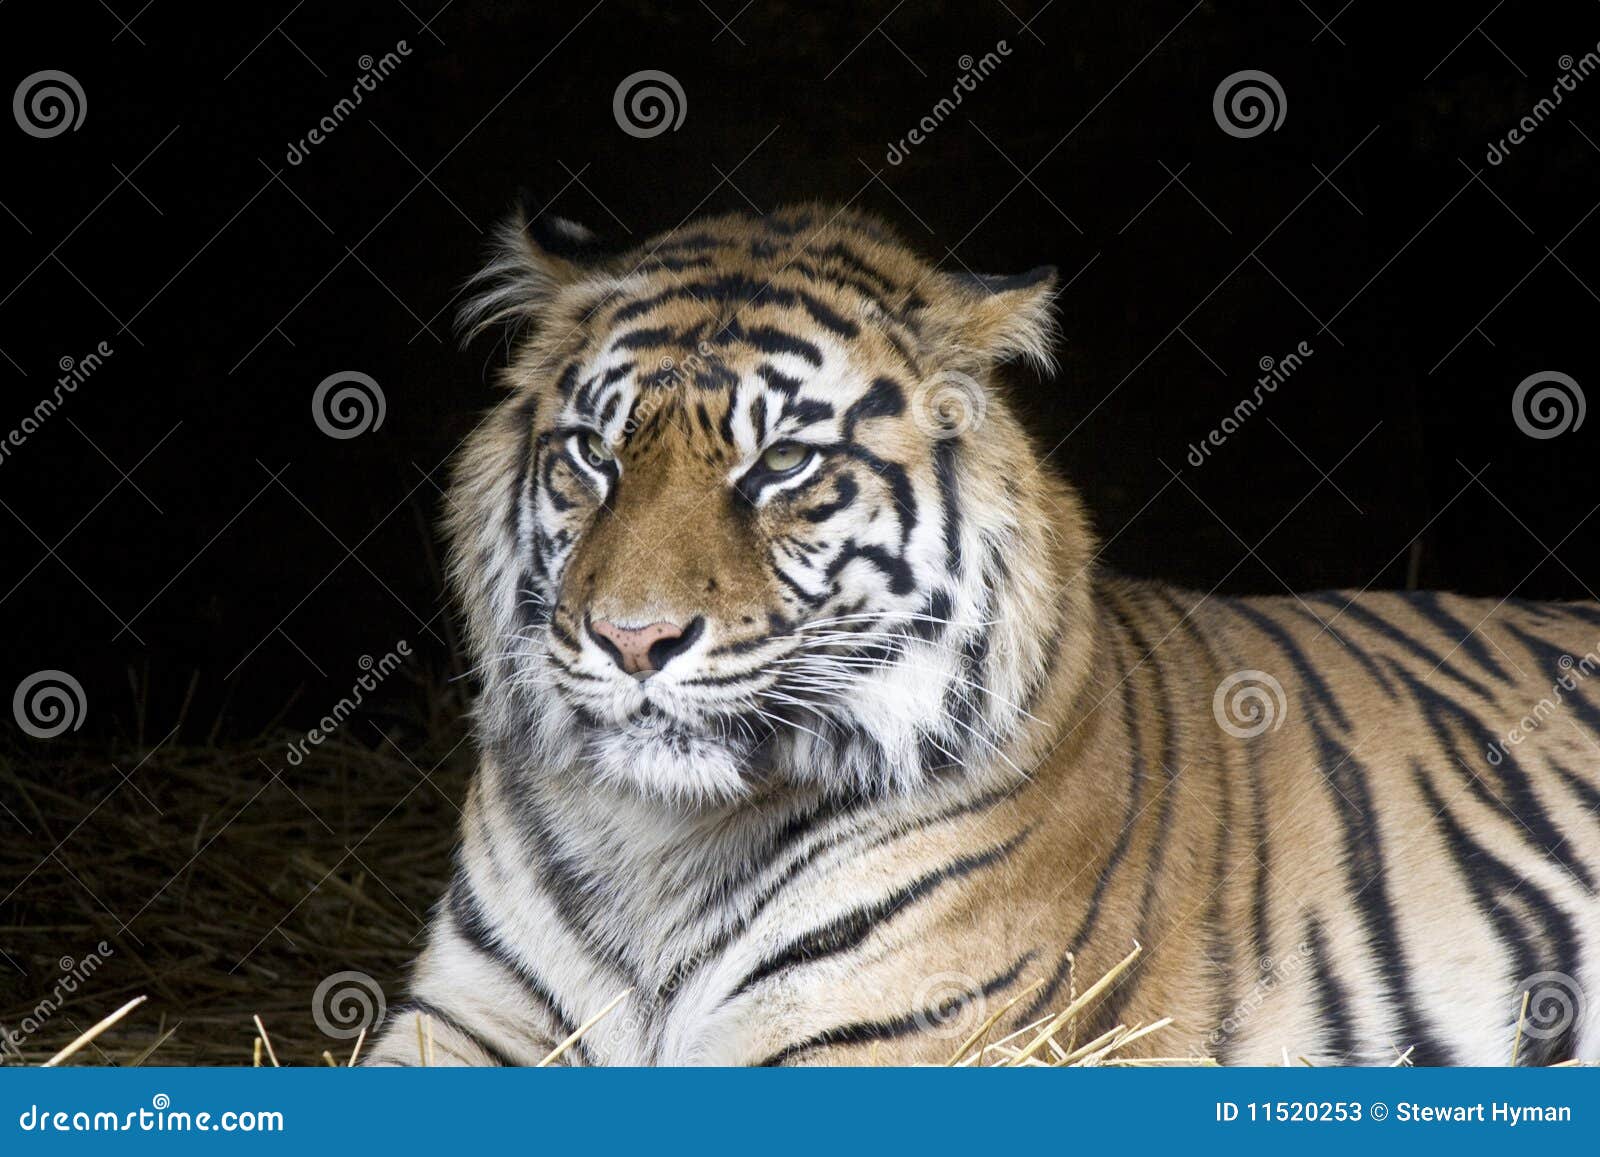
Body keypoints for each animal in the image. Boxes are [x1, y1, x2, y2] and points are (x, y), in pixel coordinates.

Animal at [367, 201, 1600, 1067]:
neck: (652, 842)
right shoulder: (464, 1018)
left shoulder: (876, 1035)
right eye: (595, 454)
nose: (632, 639)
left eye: (783, 463)